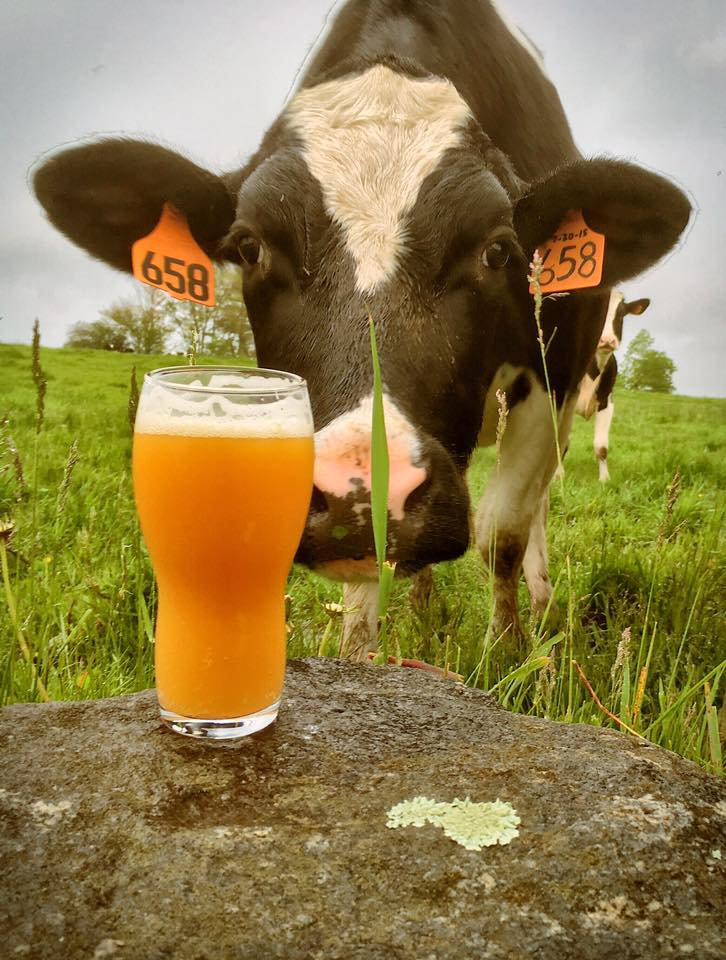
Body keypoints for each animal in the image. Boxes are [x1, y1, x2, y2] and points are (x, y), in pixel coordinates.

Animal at [575, 290, 650, 482]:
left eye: (622, 314)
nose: (607, 340)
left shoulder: (606, 400)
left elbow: (601, 446)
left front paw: (604, 479)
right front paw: (557, 476)